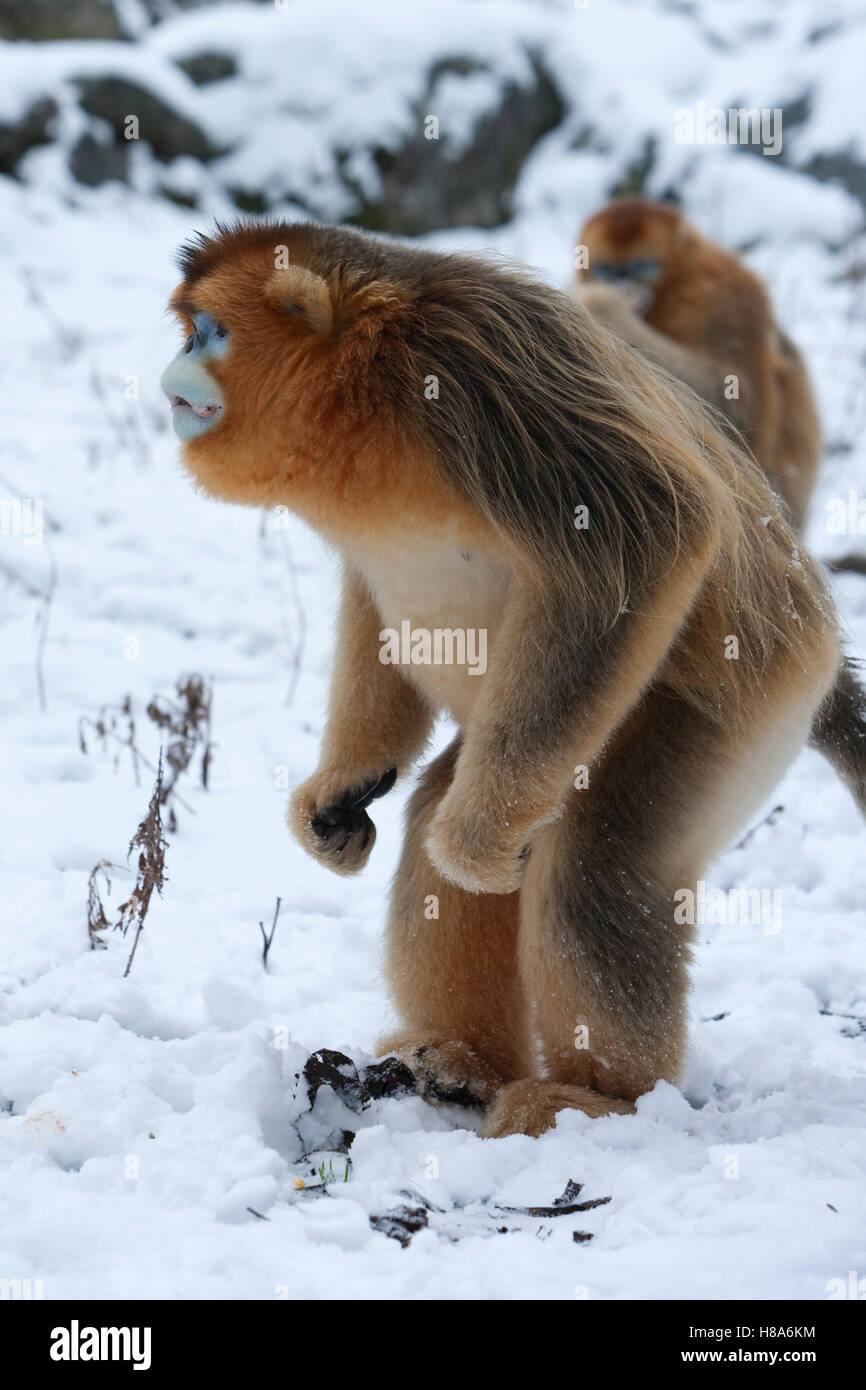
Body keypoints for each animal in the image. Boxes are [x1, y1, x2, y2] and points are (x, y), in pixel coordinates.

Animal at [574, 198, 822, 532]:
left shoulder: (726, 301)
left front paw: (606, 308)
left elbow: (736, 409)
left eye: (643, 267)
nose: (622, 286)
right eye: (607, 270)